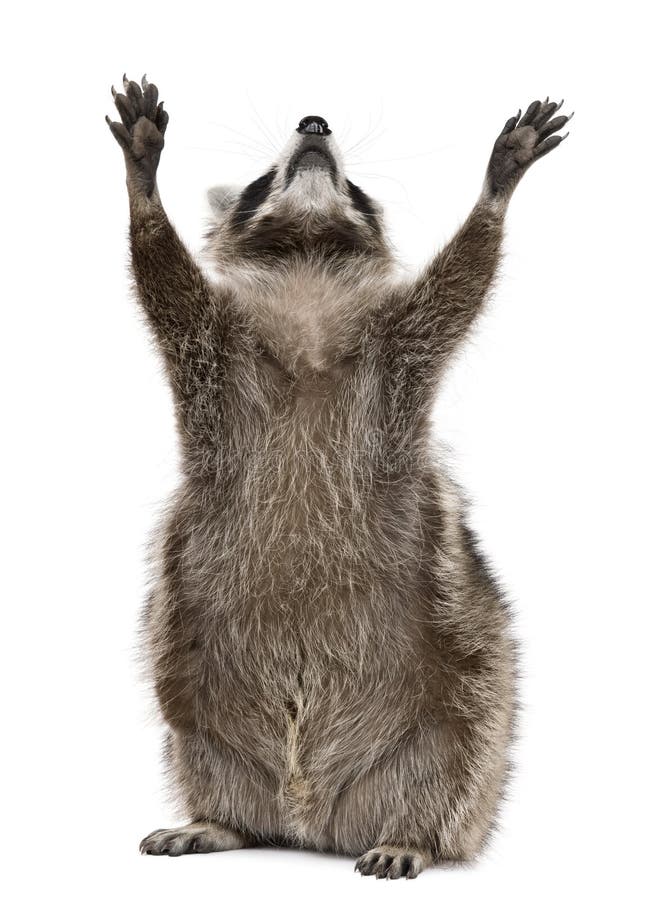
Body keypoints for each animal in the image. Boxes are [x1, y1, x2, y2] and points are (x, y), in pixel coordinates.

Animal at [107, 77, 570, 879]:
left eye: (353, 187)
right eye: (266, 176)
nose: (315, 122)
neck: (307, 265)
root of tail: (312, 821)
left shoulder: (397, 350)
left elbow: (458, 286)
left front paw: (494, 193)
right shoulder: (212, 345)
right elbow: (165, 282)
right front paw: (144, 188)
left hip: (468, 694)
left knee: (455, 761)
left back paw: (410, 833)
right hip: (191, 684)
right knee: (195, 739)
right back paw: (220, 818)